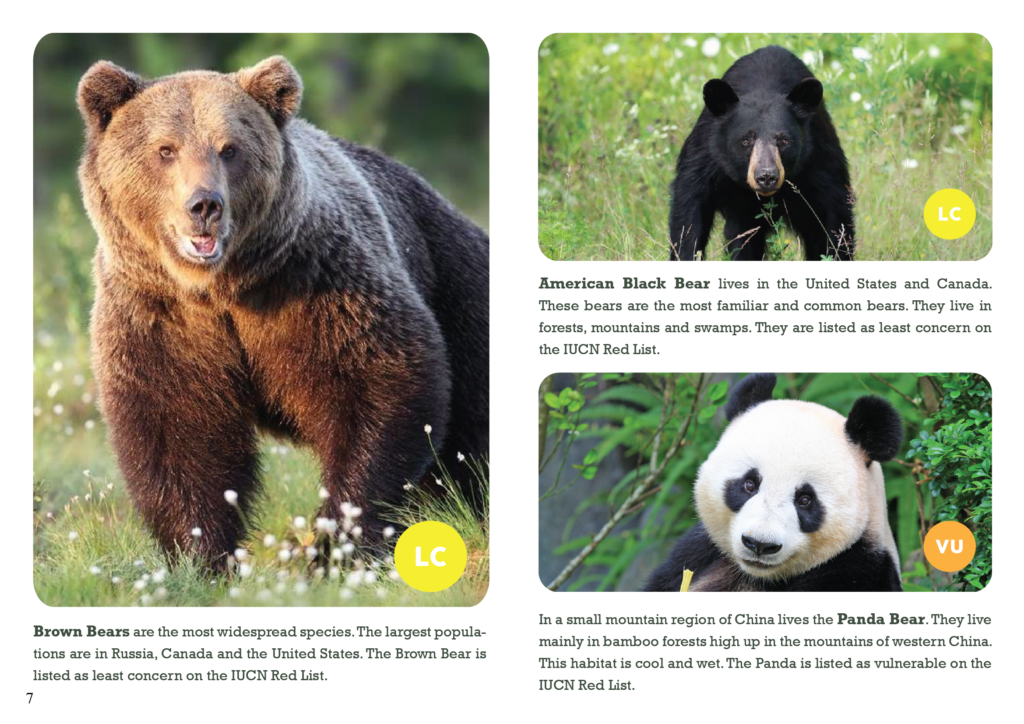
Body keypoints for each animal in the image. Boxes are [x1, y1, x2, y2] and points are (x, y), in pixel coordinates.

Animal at [76, 56, 489, 568]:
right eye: (165, 149)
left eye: (229, 149)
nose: (204, 205)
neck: (220, 288)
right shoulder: (158, 316)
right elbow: (176, 430)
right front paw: (204, 556)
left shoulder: (316, 285)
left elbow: (378, 385)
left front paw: (335, 545)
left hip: (455, 280)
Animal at [668, 46, 855, 261]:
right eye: (746, 140)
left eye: (784, 140)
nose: (766, 177)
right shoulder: (706, 156)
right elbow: (689, 216)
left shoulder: (819, 159)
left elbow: (834, 220)